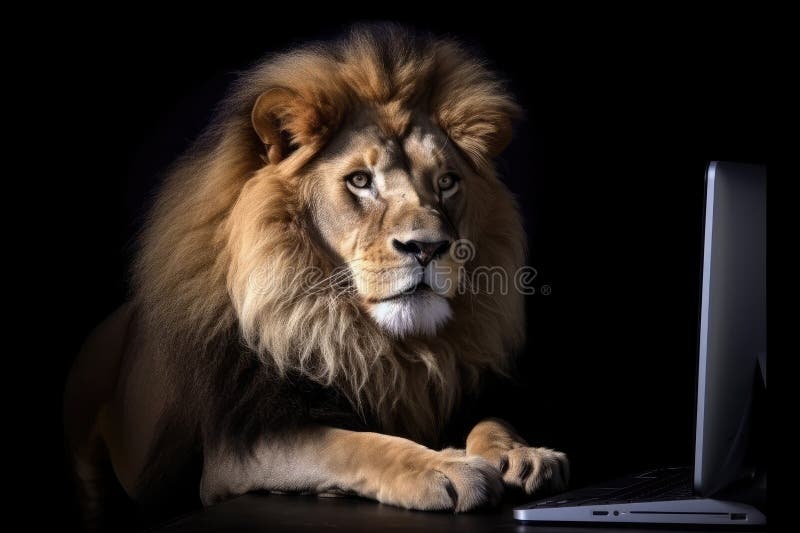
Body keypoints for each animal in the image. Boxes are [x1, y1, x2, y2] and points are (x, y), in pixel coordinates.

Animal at [63, 24, 568, 529]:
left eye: (447, 182)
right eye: (360, 181)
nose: (427, 247)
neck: (376, 342)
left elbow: (493, 419)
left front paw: (523, 454)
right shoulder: (241, 446)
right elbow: (349, 444)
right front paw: (441, 467)